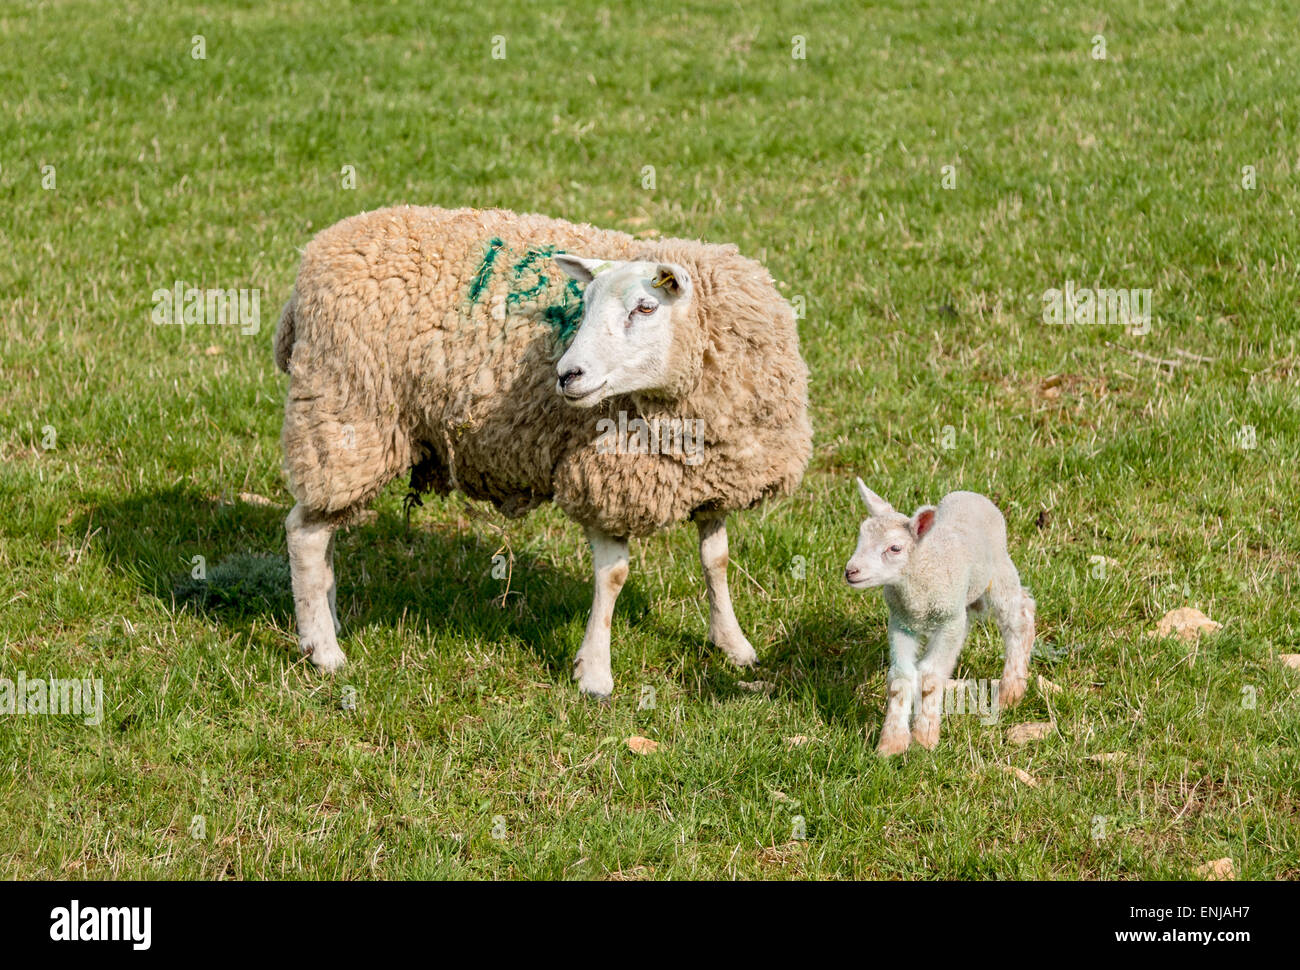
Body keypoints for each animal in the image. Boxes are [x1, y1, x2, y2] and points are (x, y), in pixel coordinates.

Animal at [274, 205, 812, 698]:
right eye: (584, 305)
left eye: (645, 307)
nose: (567, 373)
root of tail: (317, 254)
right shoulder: (599, 476)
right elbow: (613, 576)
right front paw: (594, 673)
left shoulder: (712, 476)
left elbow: (716, 560)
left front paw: (733, 644)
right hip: (345, 416)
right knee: (305, 534)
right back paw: (323, 650)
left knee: (324, 532)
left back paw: (324, 622)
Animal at [843, 479, 1035, 755]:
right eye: (860, 537)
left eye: (895, 548)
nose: (851, 571)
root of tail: (971, 494)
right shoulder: (901, 622)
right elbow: (901, 676)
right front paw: (891, 743)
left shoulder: (947, 622)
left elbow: (930, 677)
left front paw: (924, 738)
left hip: (998, 569)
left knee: (1020, 617)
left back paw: (1011, 691)